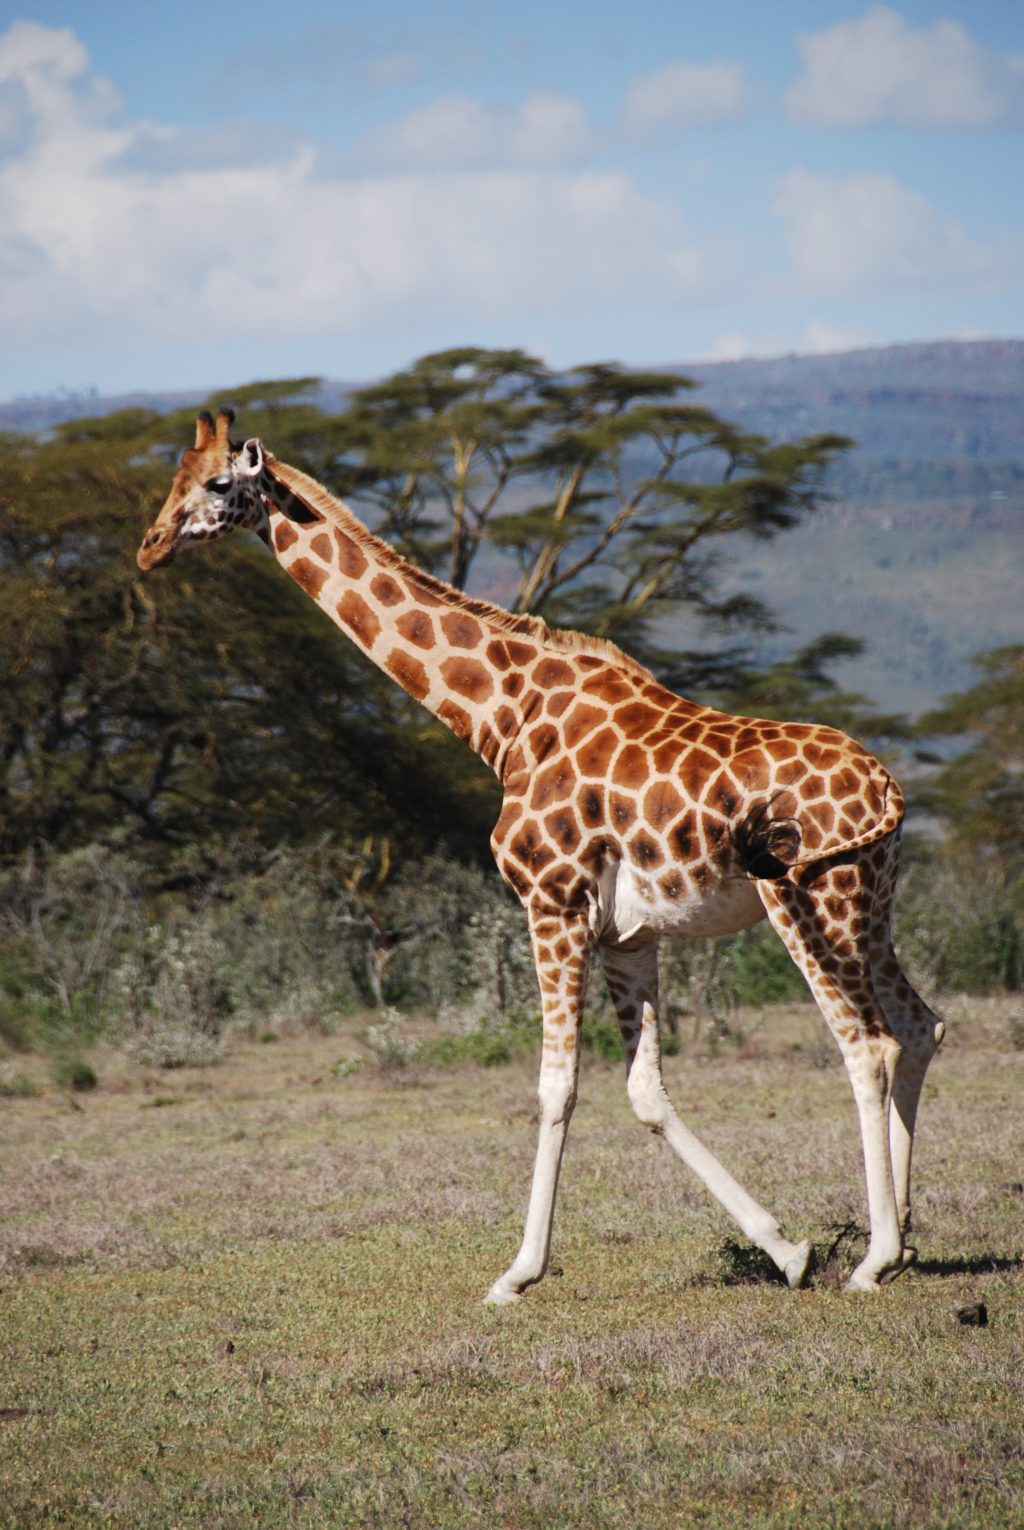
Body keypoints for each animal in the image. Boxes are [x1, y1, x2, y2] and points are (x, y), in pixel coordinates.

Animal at [137, 408, 945, 1299]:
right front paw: (788, 1249)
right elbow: (645, 1092)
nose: (149, 546)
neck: (502, 718)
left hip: (807, 896)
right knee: (920, 1026)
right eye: (174, 478)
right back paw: (903, 1239)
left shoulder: (550, 902)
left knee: (866, 1044)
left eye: (217, 483)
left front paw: (517, 1273)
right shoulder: (630, 933)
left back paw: (875, 1259)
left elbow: (556, 1086)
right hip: (871, 902)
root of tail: (888, 789)